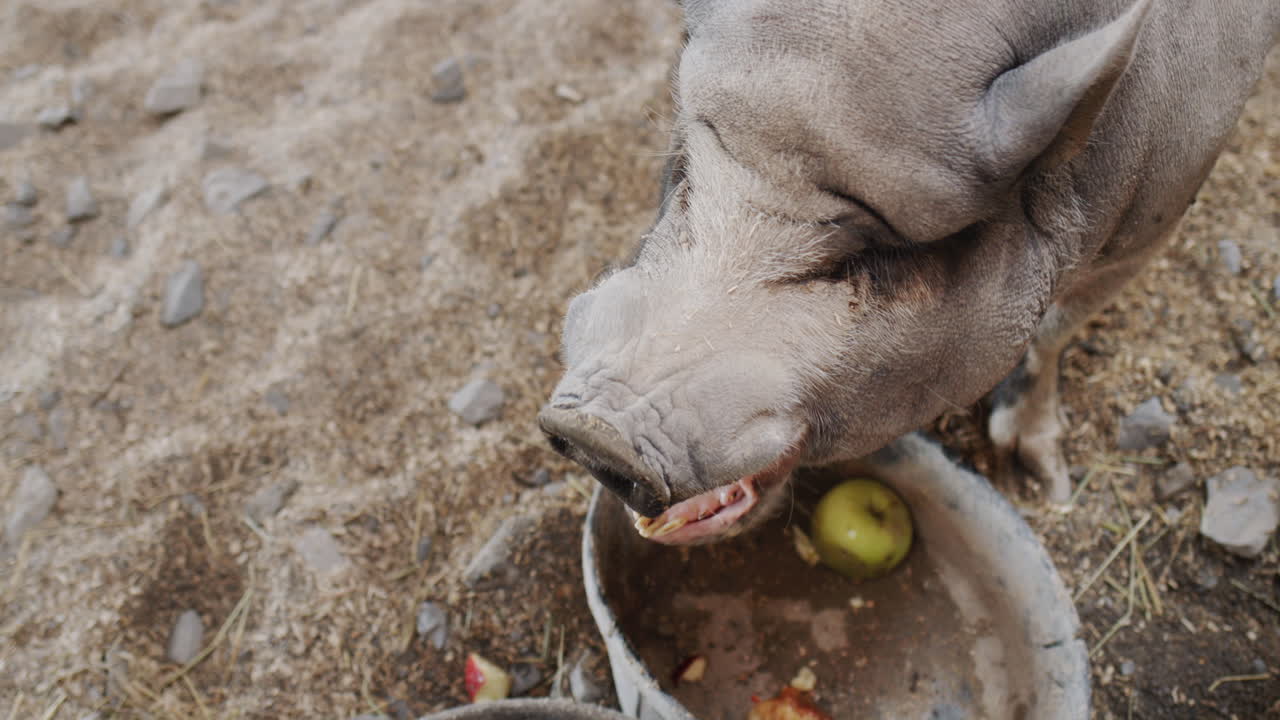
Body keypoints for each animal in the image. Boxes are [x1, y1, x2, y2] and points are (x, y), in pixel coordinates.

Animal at [537, 0, 1279, 544]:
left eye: (866, 255)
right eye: (686, 170)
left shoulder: (1159, 218)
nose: (598, 434)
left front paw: (1041, 483)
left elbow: (1055, 331)